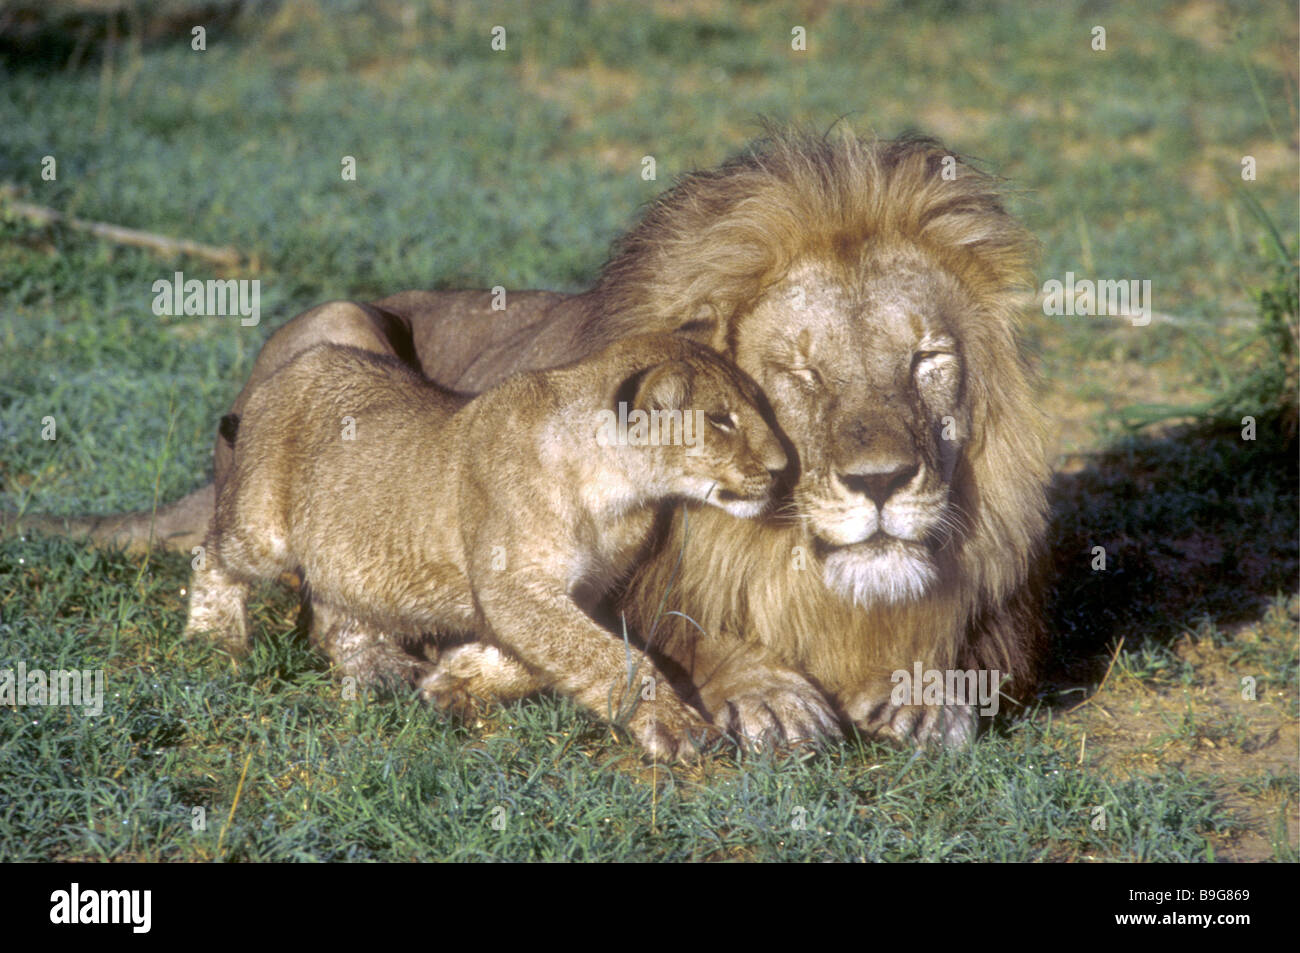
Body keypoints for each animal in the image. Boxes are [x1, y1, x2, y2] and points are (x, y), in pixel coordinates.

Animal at [187, 335, 786, 760]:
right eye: (721, 419)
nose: (784, 467)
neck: (617, 495)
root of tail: (286, 370)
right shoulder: (511, 586)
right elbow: (610, 657)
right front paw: (677, 724)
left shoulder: (577, 590)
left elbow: (544, 659)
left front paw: (451, 681)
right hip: (262, 528)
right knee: (212, 556)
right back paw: (214, 639)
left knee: (336, 612)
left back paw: (376, 667)